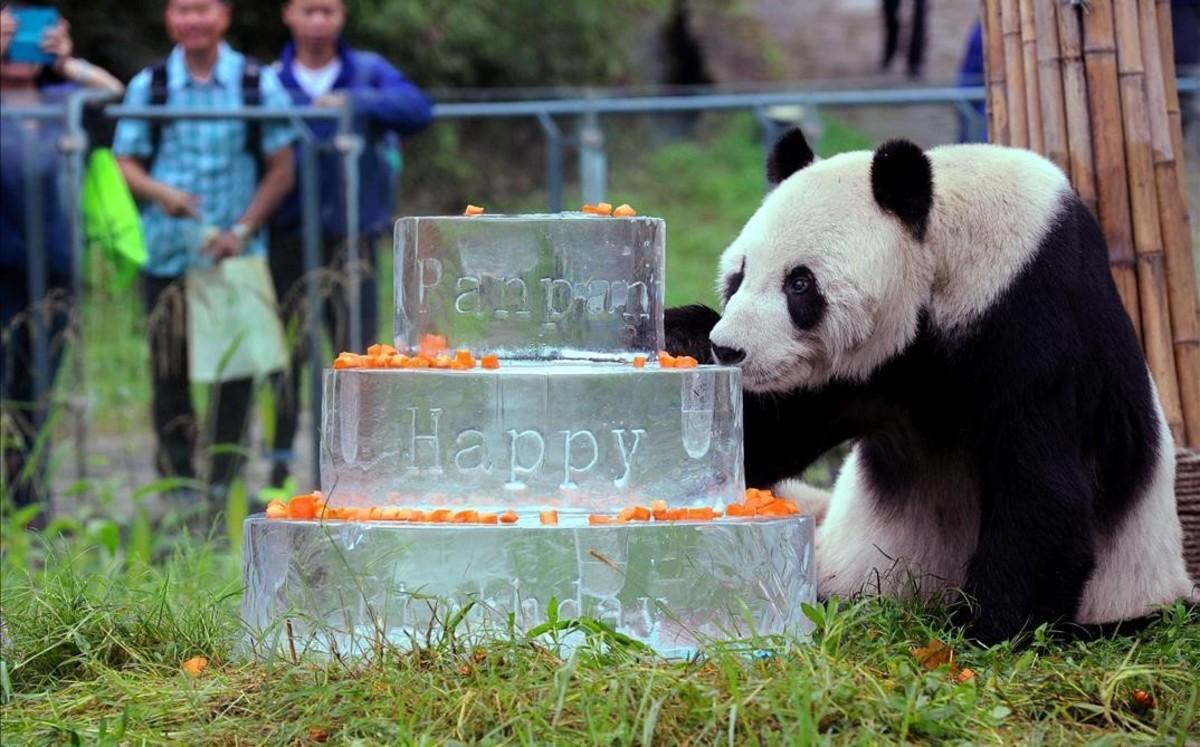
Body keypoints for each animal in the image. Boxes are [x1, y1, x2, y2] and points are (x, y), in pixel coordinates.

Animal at [665, 128, 1198, 644]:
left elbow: (1043, 489)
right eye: (739, 275)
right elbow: (768, 442)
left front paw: (983, 630)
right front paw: (682, 335)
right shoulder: (867, 372)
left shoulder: (1037, 321)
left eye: (800, 284)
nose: (729, 350)